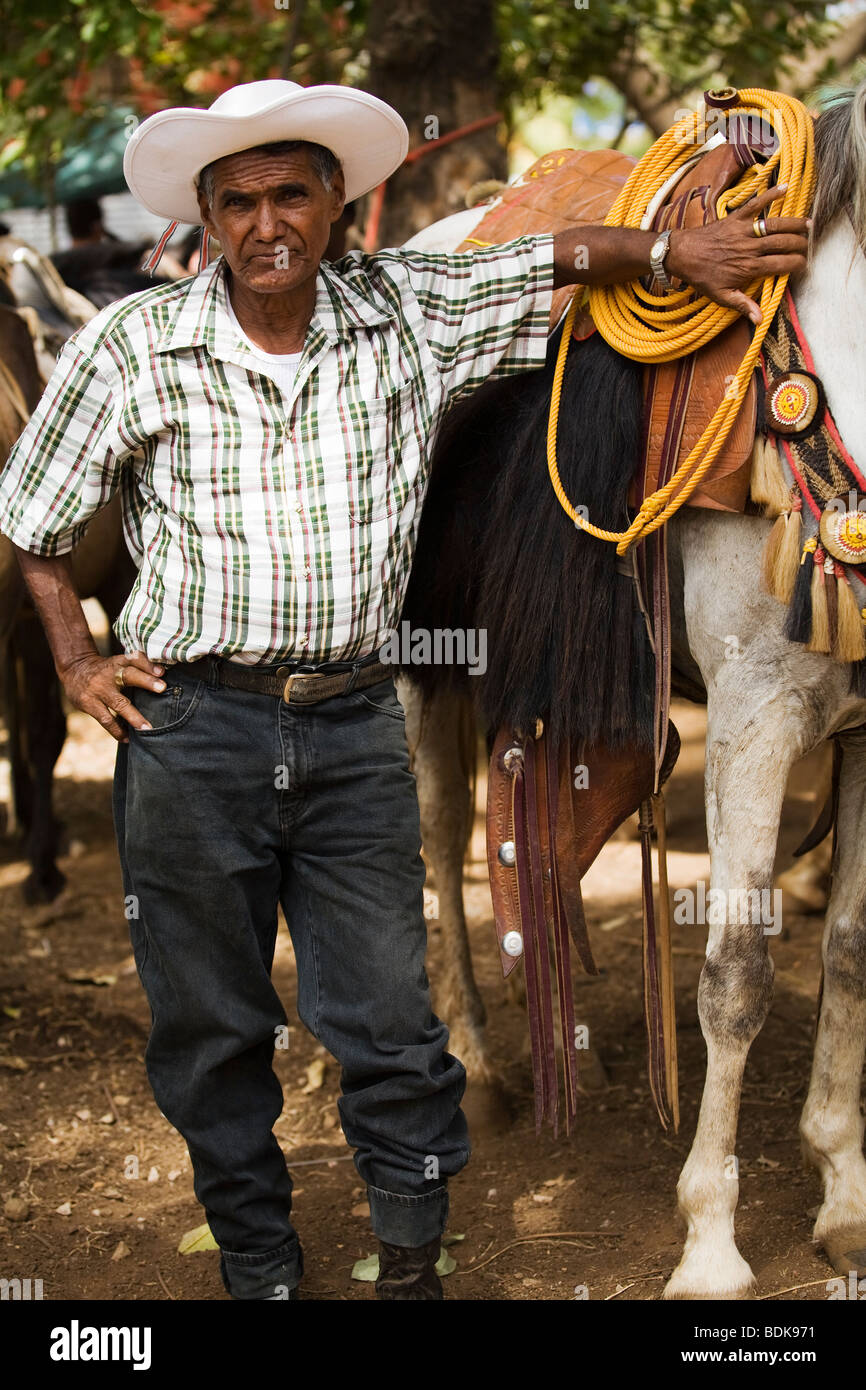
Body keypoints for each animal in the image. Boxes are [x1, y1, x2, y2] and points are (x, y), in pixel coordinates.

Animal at [397, 79, 866, 1298]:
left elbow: (846, 953)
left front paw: (843, 1190)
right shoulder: (755, 719)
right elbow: (736, 977)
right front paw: (708, 1243)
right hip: (418, 669)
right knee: (439, 838)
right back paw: (476, 1062)